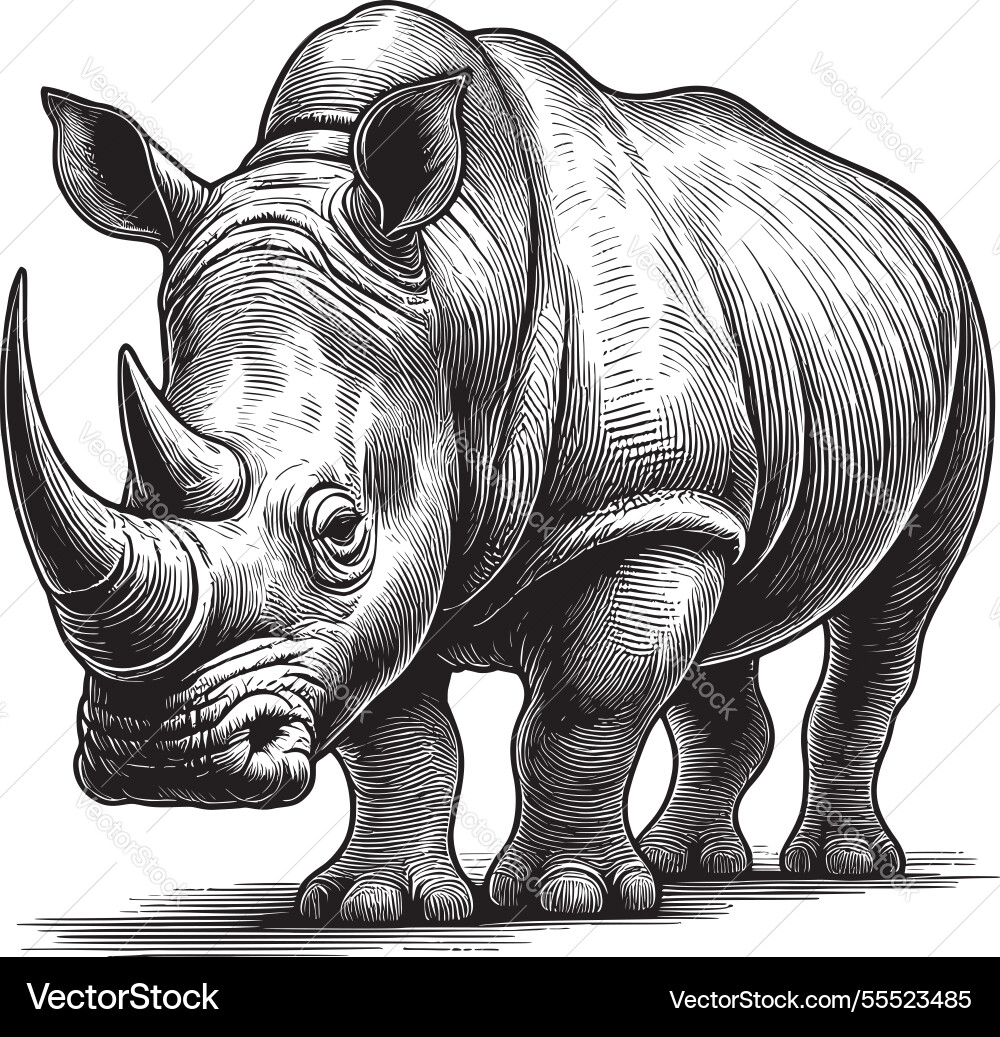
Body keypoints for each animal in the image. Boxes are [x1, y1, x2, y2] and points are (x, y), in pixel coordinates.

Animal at [2, 2, 990, 923]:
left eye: (340, 528)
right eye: (127, 488)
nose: (158, 758)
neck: (452, 285)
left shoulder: (644, 501)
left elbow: (587, 702)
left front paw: (573, 897)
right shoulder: (410, 573)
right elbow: (398, 734)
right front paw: (375, 903)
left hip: (962, 340)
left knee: (892, 607)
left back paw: (842, 864)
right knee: (726, 616)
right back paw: (693, 865)